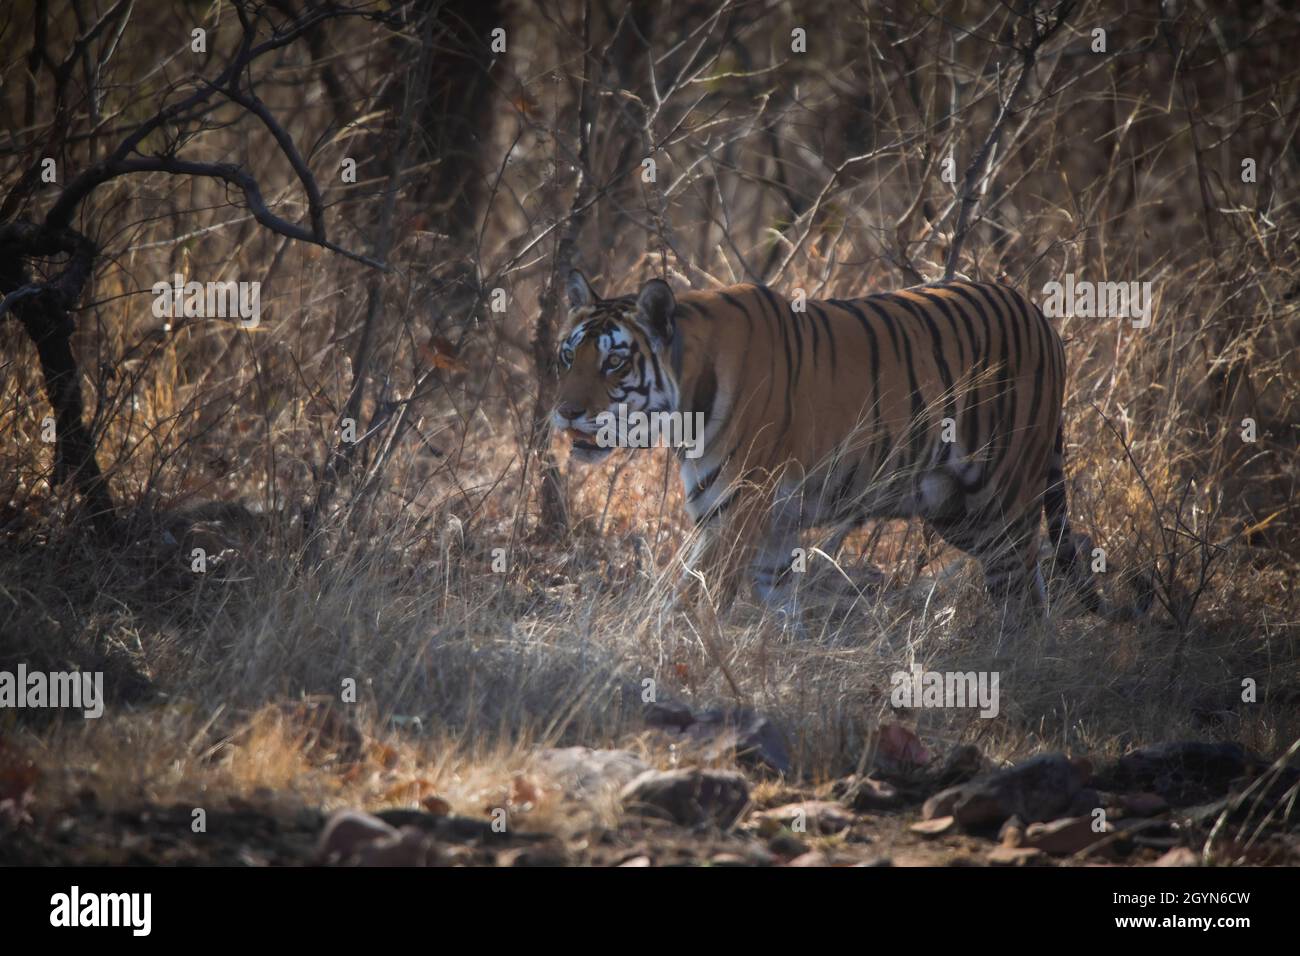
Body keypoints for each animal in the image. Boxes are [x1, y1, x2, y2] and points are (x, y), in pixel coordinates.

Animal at [553, 269, 1151, 630]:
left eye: (614, 362)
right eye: (566, 356)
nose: (565, 411)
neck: (684, 409)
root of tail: (1040, 317)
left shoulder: (735, 507)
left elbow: (691, 595)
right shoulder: (763, 522)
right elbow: (772, 600)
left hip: (1001, 497)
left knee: (1022, 586)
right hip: (956, 511)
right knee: (1036, 579)